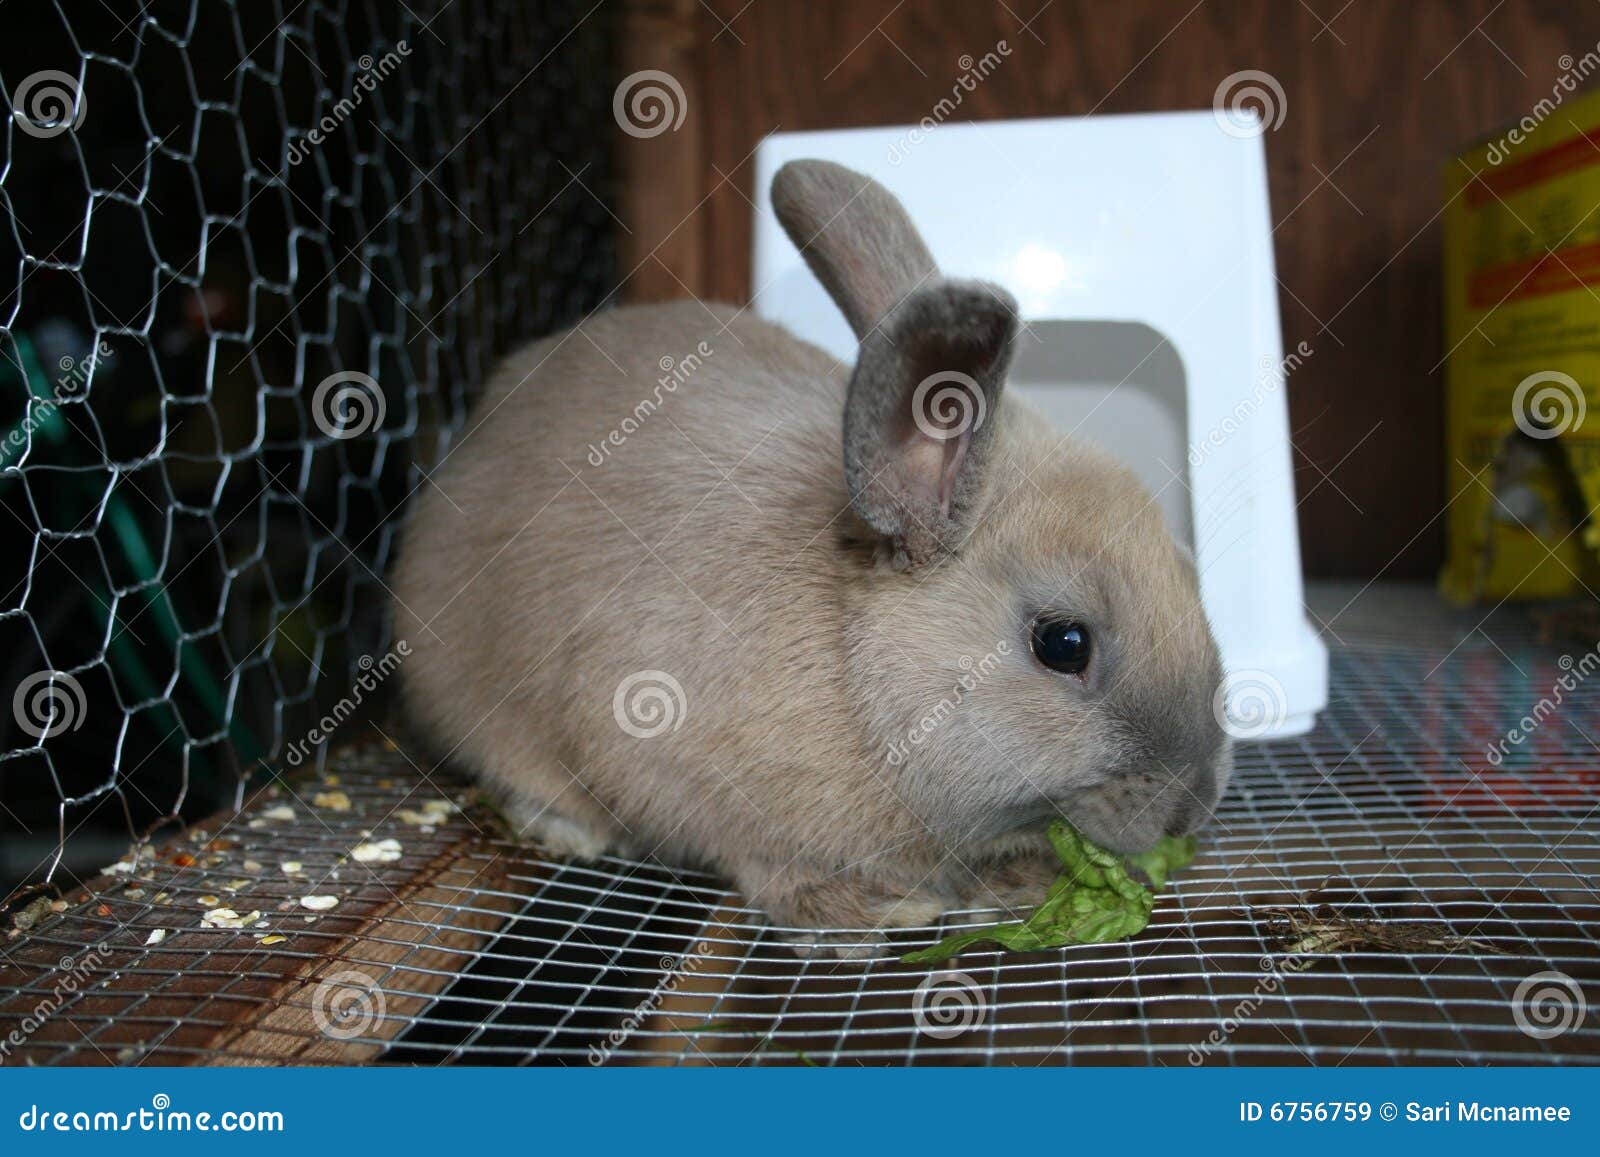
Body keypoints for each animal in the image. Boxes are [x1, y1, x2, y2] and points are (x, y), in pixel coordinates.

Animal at [390, 158, 1231, 946]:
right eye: (1063, 643)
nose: (1192, 808)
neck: (856, 676)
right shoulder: (659, 755)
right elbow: (762, 862)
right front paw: (860, 912)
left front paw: (1016, 884)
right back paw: (569, 827)